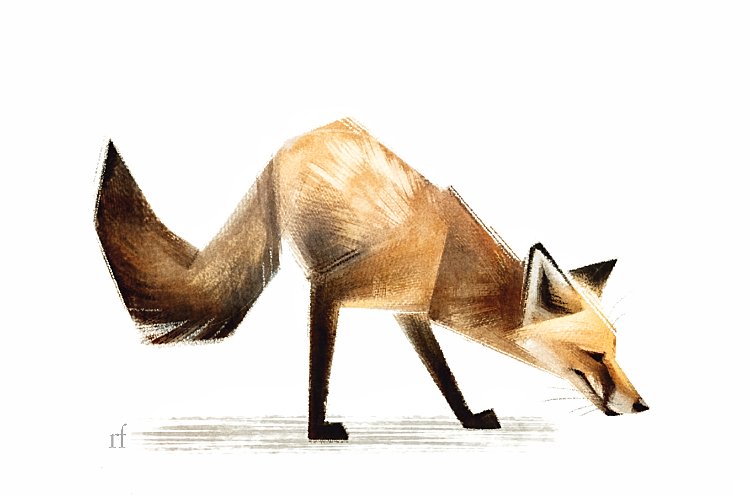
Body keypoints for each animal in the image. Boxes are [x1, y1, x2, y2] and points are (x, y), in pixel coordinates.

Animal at [95, 118, 648, 441]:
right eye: (594, 356)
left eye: (616, 352)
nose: (642, 405)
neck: (448, 263)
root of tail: (293, 141)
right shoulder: (332, 288)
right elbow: (318, 373)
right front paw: (317, 430)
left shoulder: (410, 312)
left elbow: (446, 378)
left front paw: (468, 419)